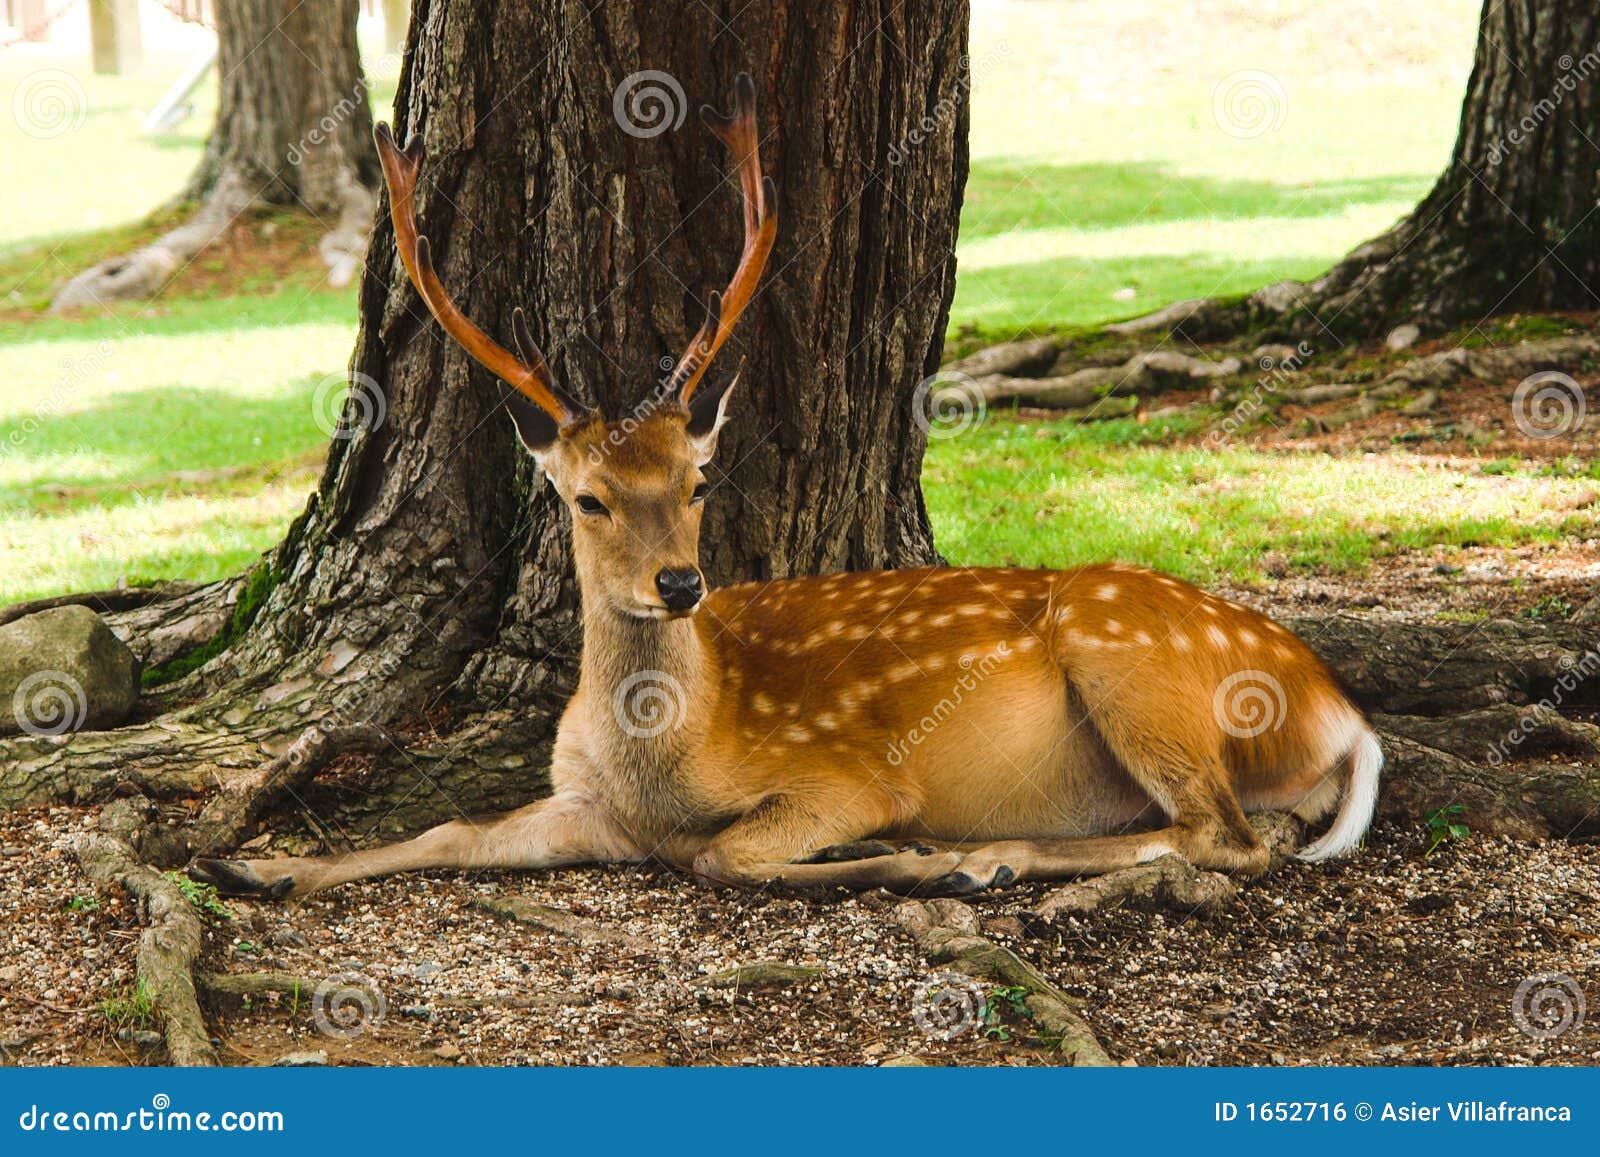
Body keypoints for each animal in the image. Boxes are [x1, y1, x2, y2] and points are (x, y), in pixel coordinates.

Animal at [192, 75, 1381, 903]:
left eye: (698, 478)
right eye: (587, 497)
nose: (679, 584)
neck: (667, 765)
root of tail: (1342, 714)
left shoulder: (842, 773)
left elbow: (727, 854)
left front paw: (908, 857)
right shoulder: (584, 802)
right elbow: (452, 833)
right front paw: (253, 866)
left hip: (1133, 657)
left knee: (1225, 835)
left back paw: (985, 853)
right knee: (1244, 829)